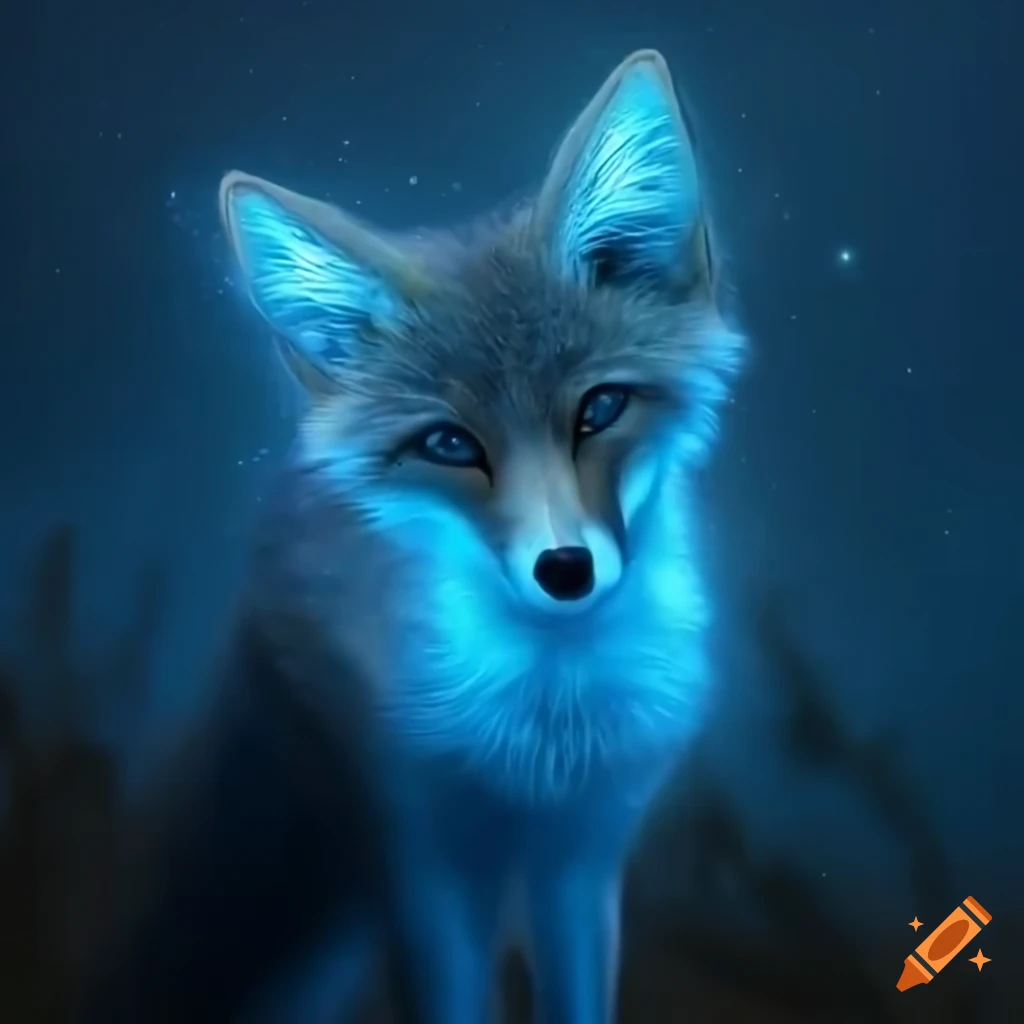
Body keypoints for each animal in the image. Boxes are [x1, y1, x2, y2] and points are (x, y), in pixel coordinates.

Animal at [92, 49, 744, 1024]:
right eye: (449, 444)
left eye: (599, 407)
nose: (565, 569)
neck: (547, 737)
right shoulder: (426, 858)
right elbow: (447, 997)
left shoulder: (583, 857)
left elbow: (579, 995)